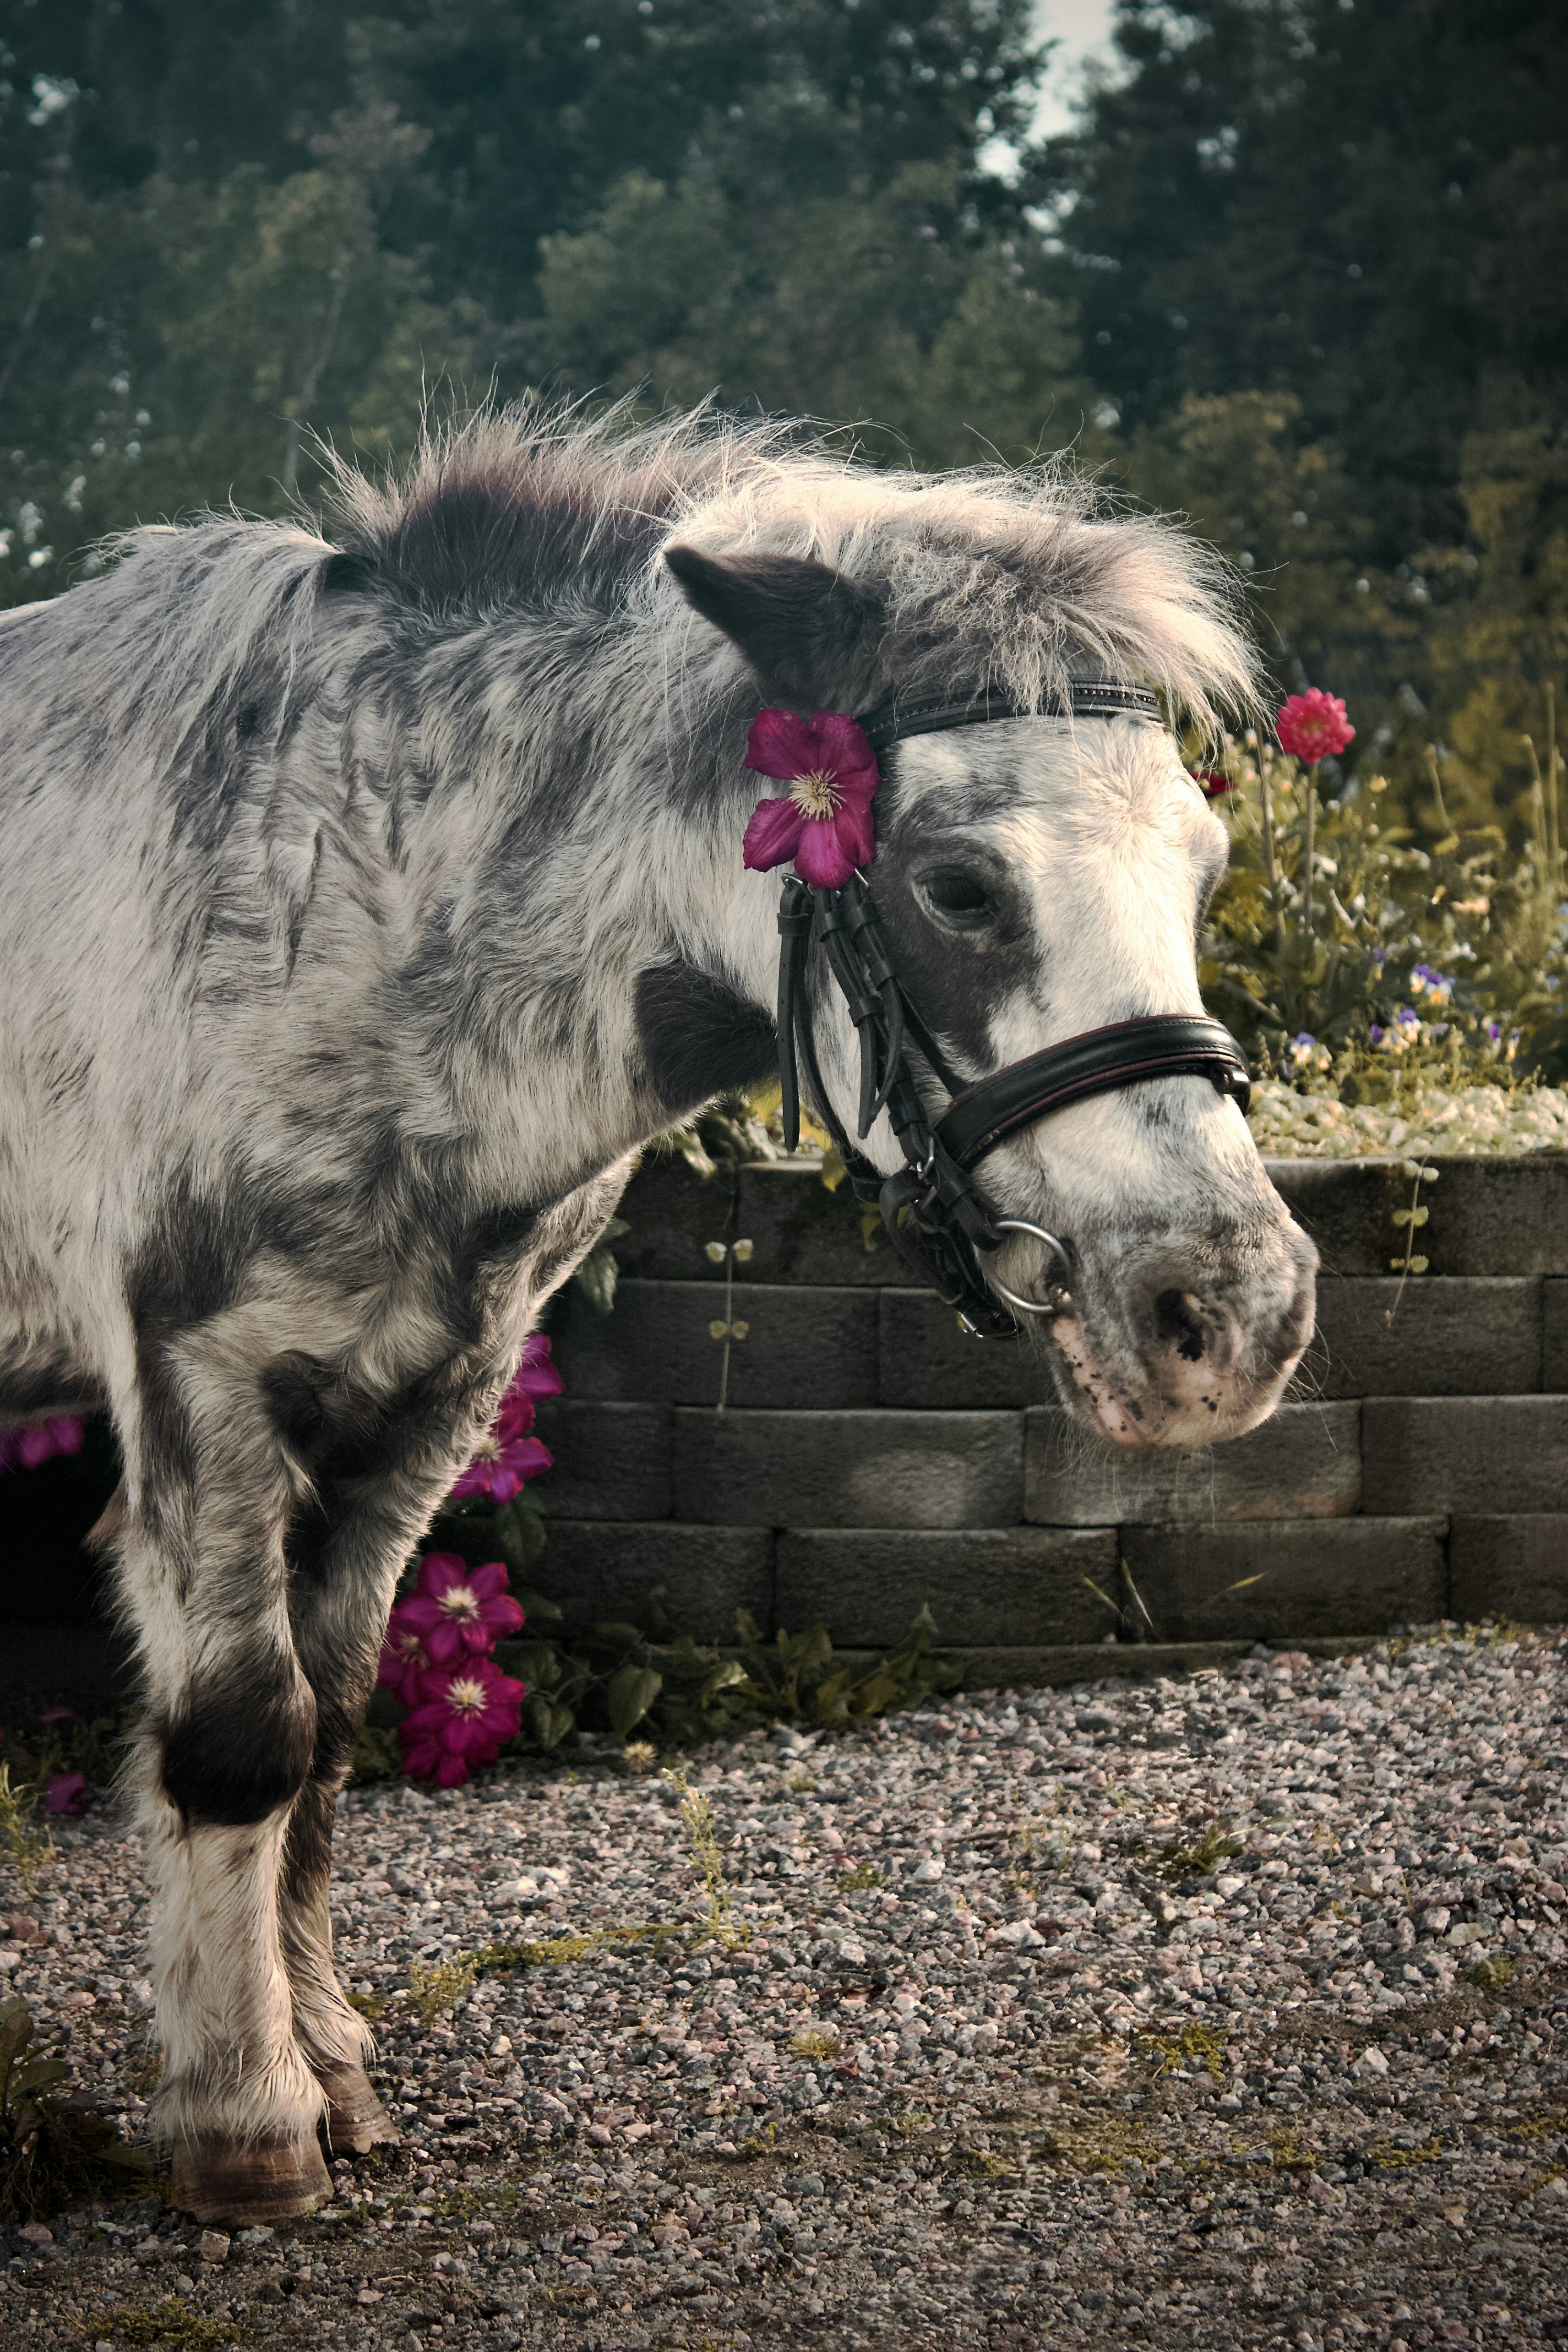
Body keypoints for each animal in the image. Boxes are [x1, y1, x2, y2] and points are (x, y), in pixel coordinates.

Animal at [0, 404, 1317, 2224]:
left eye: (1204, 867)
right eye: (960, 888)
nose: (1231, 1311)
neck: (329, 899)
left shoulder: (435, 1388)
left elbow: (331, 1717)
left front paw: (327, 2063)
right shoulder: (201, 1382)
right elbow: (242, 1734)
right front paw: (246, 2118)